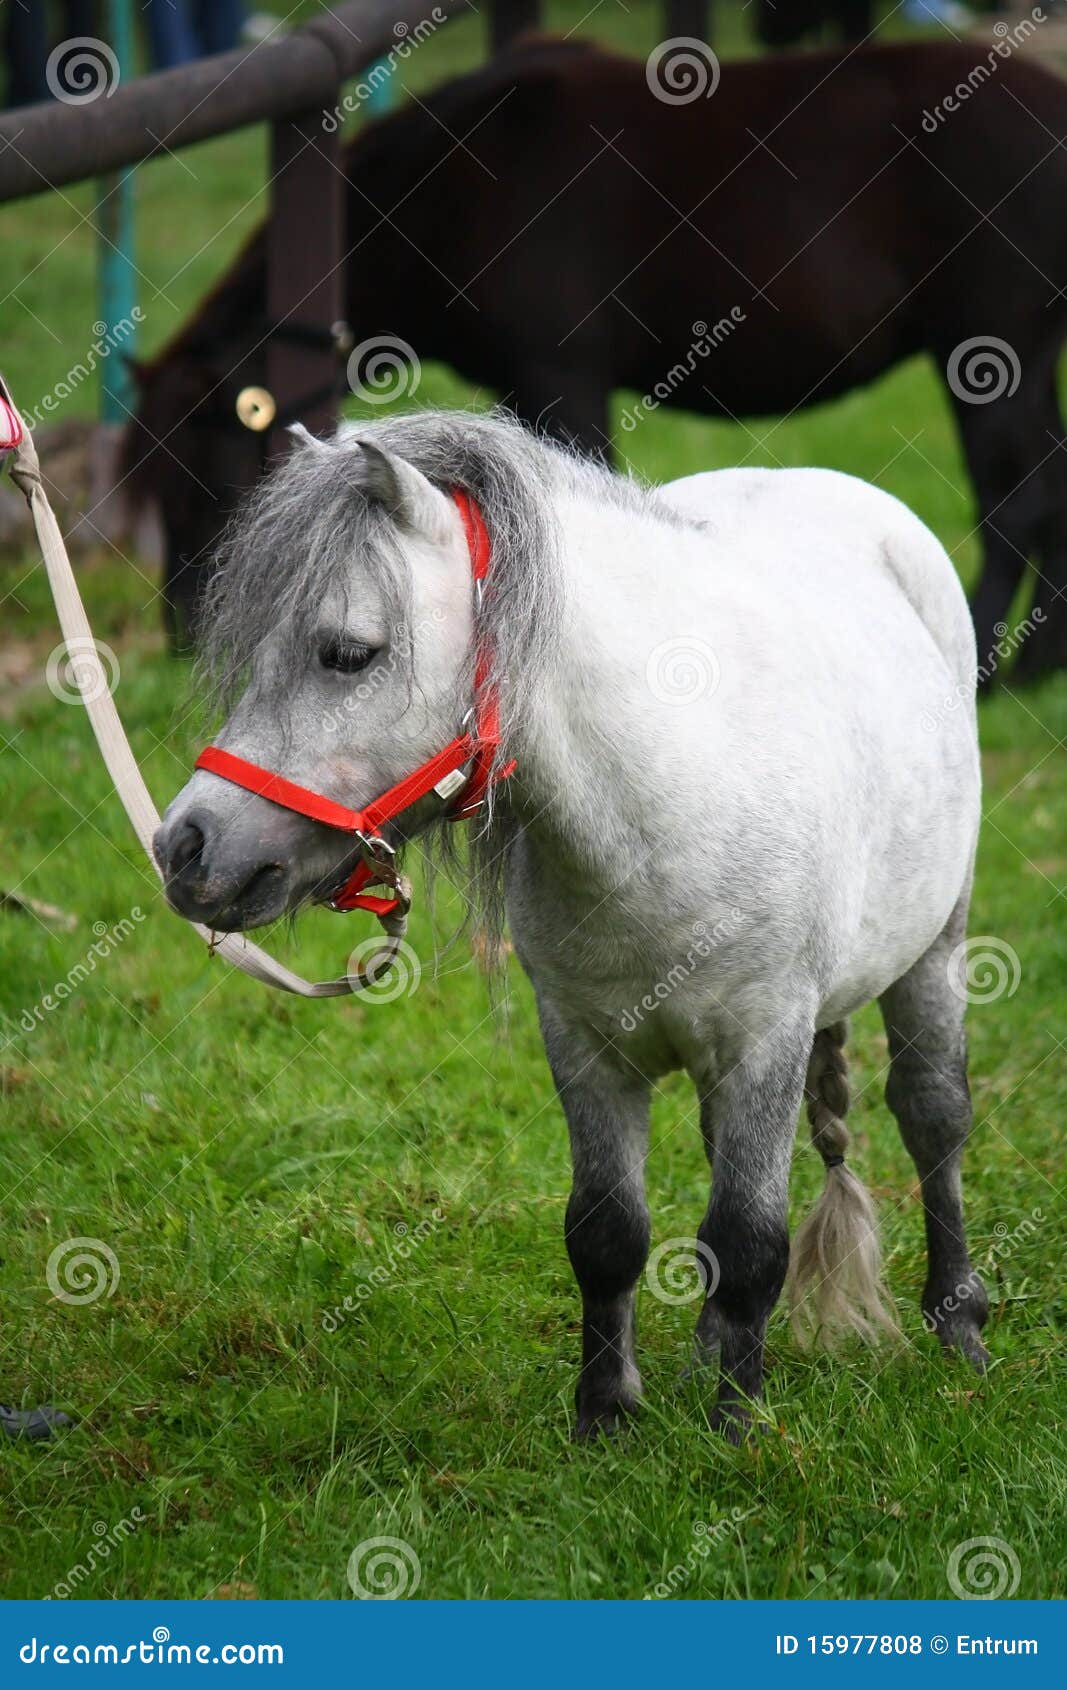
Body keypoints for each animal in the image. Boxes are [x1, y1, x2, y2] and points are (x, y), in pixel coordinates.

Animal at [124, 36, 1067, 678]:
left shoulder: (560, 376)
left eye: (206, 485)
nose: (180, 640)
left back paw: (989, 670)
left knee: (1016, 504)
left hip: (988, 352)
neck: (459, 181)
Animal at [152, 411, 989, 1440]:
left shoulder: (764, 1037)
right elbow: (606, 1232)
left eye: (348, 652)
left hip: (933, 955)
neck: (668, 788)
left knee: (931, 1119)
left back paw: (956, 1323)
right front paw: (604, 1415)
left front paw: (736, 1427)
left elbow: (753, 1236)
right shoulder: (585, 1044)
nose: (185, 848)